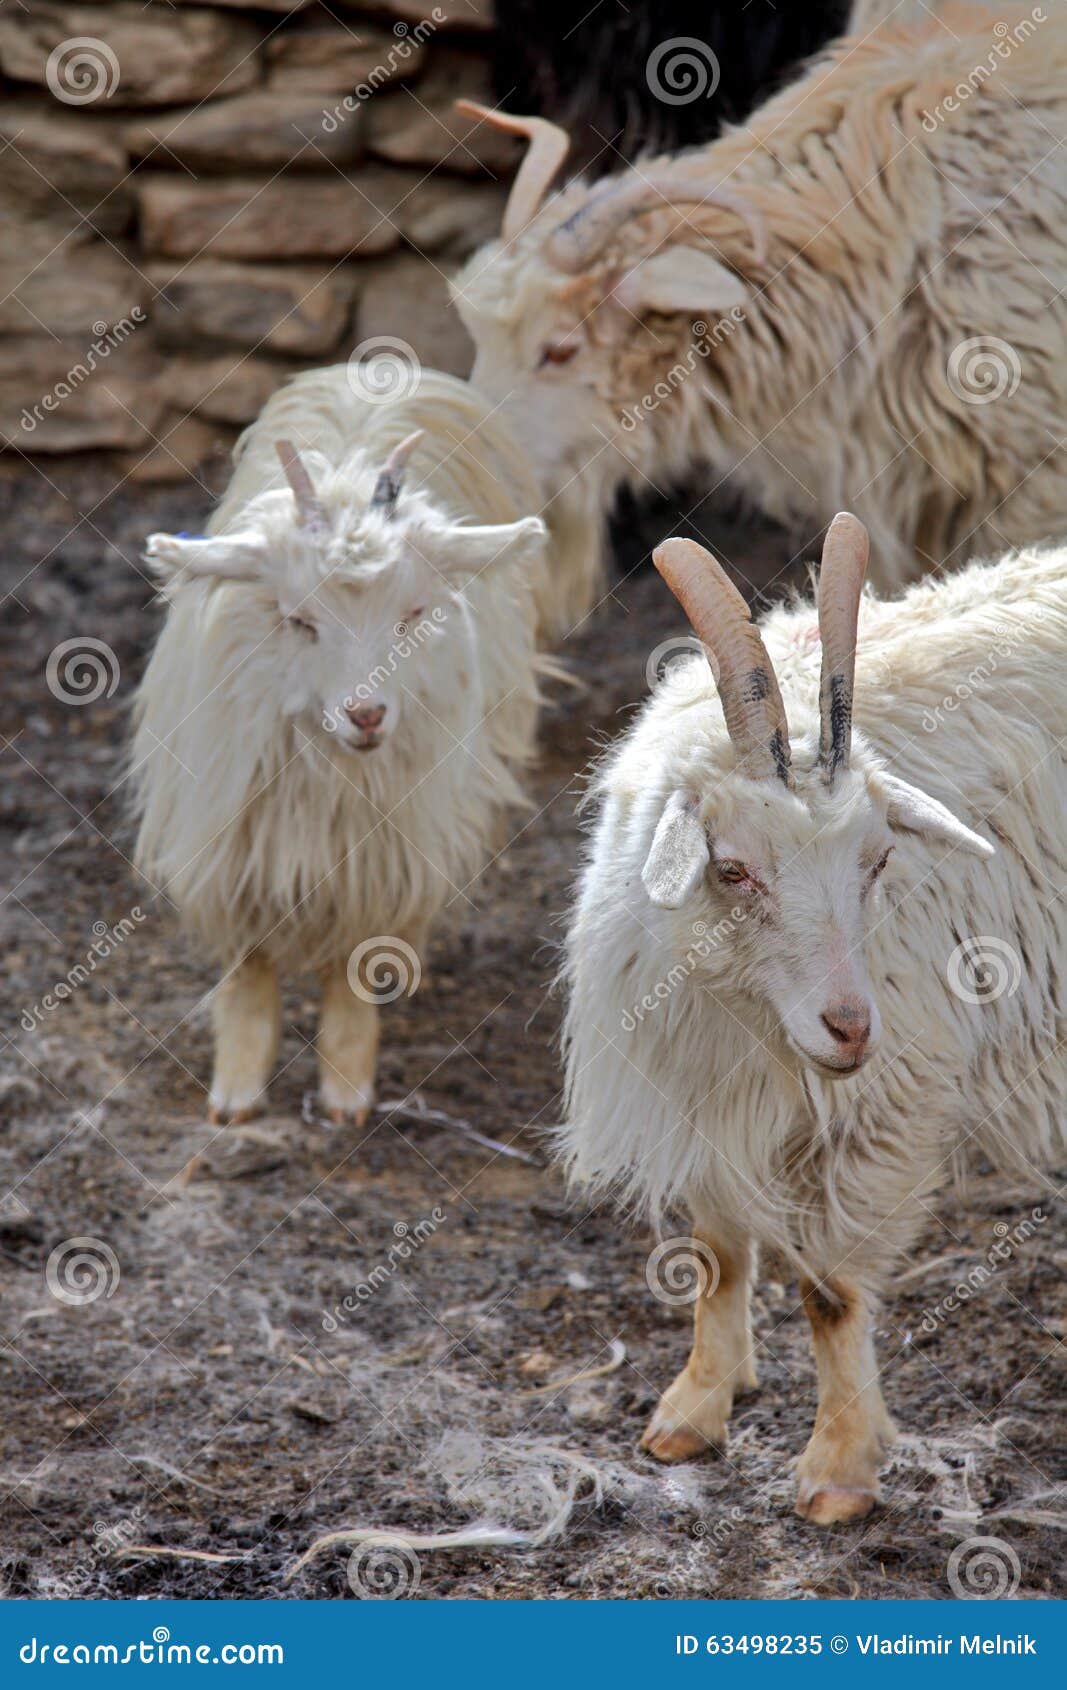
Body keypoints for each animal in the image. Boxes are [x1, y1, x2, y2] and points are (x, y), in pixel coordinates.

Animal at [131, 366, 547, 1125]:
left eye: (413, 616)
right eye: (298, 621)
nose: (367, 713)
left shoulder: (386, 853)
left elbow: (357, 954)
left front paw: (345, 1091)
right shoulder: (231, 836)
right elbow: (250, 963)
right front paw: (236, 1093)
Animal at [561, 513, 1066, 1522]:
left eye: (878, 860)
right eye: (731, 869)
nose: (849, 1028)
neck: (741, 1012)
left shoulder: (880, 1110)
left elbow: (830, 1293)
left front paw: (838, 1469)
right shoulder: (697, 1095)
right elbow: (717, 1256)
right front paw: (692, 1411)